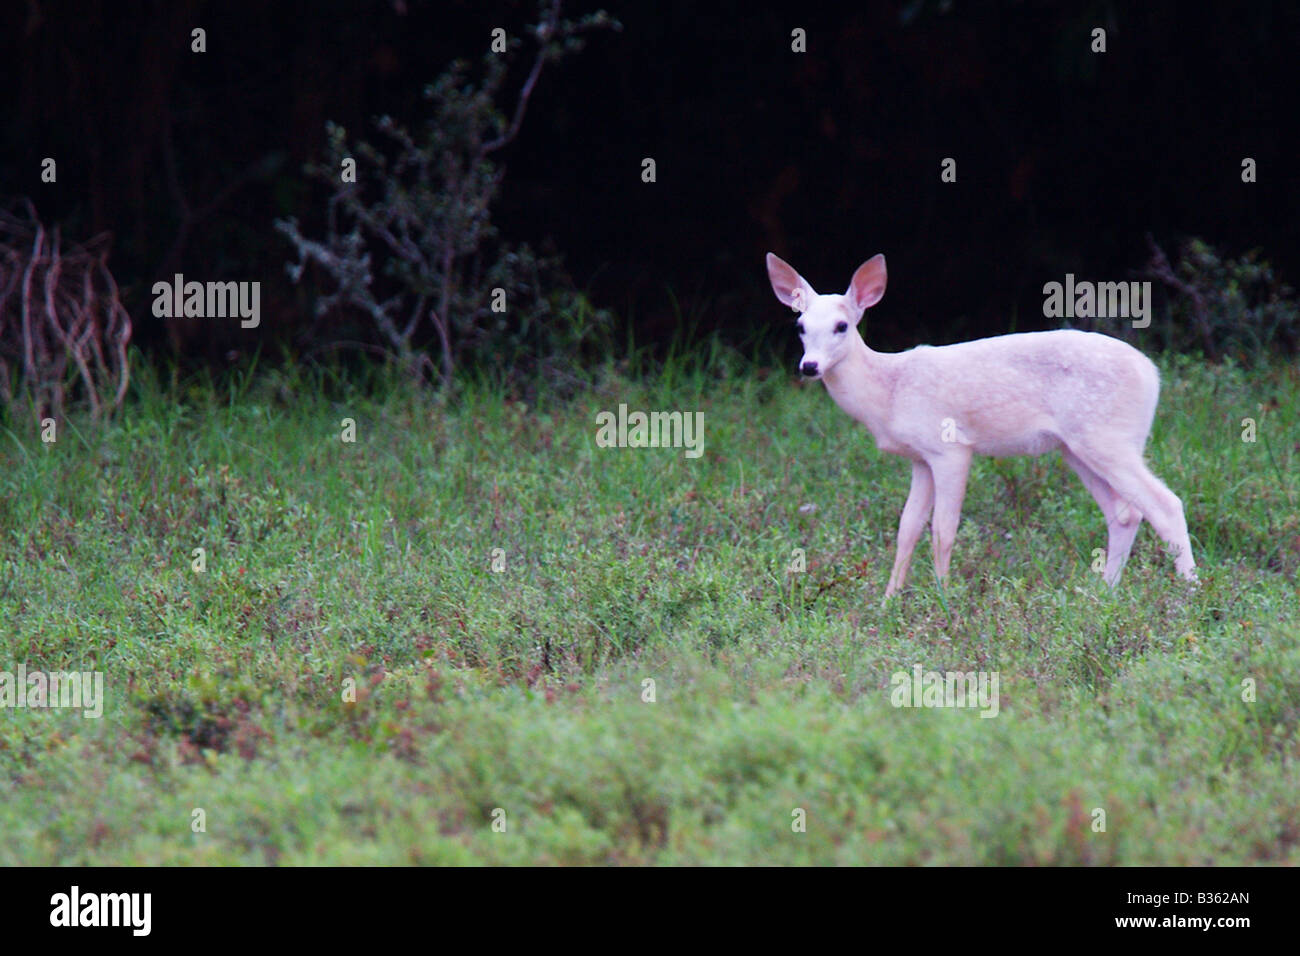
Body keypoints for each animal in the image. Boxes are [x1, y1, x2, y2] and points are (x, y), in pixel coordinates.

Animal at [765, 252, 1197, 598]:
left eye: (842, 326)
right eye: (800, 327)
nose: (809, 366)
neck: (889, 392)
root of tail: (1152, 375)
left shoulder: (950, 448)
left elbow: (943, 530)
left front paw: (943, 598)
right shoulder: (919, 459)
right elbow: (907, 529)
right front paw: (888, 601)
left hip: (1108, 436)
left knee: (1165, 504)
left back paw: (1191, 592)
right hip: (1077, 448)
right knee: (1125, 513)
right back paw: (1103, 594)